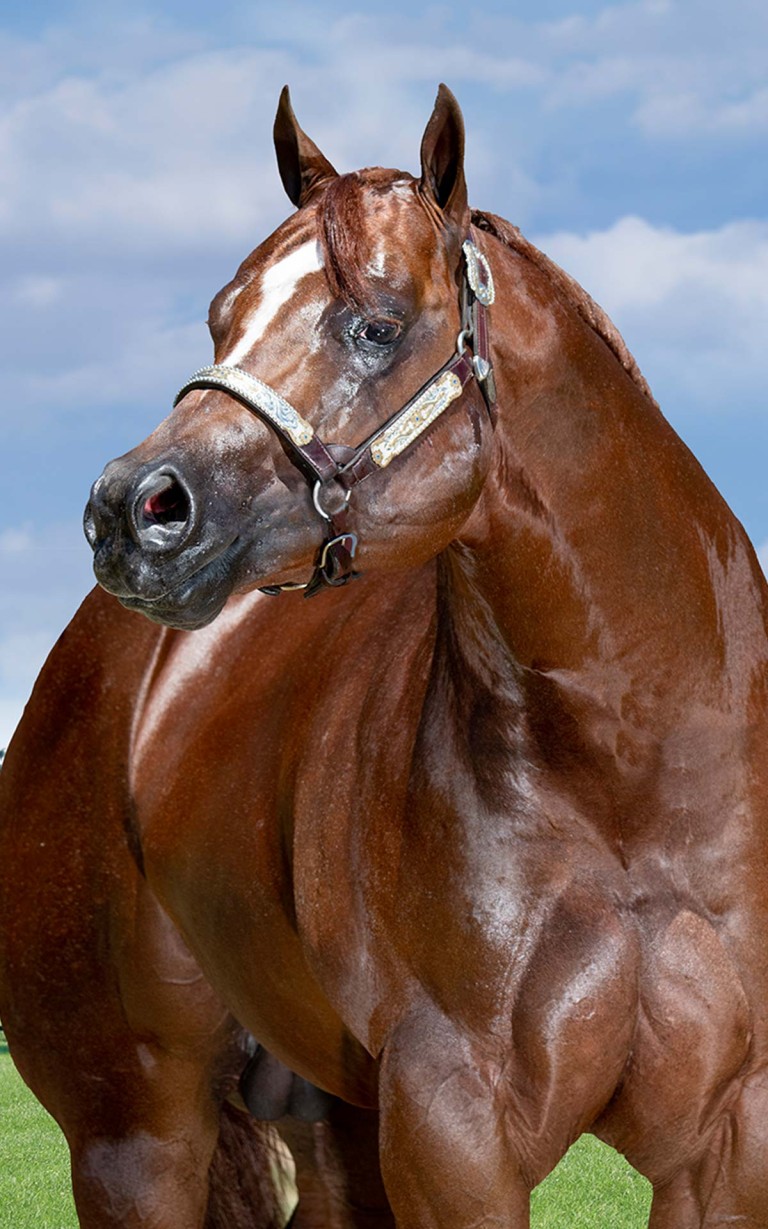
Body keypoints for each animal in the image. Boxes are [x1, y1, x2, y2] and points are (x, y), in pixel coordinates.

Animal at [2, 82, 768, 1228]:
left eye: (377, 324)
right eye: (221, 315)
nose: (132, 511)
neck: (629, 772)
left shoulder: (726, 1143)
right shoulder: (454, 1134)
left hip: (329, 1123)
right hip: (132, 1139)